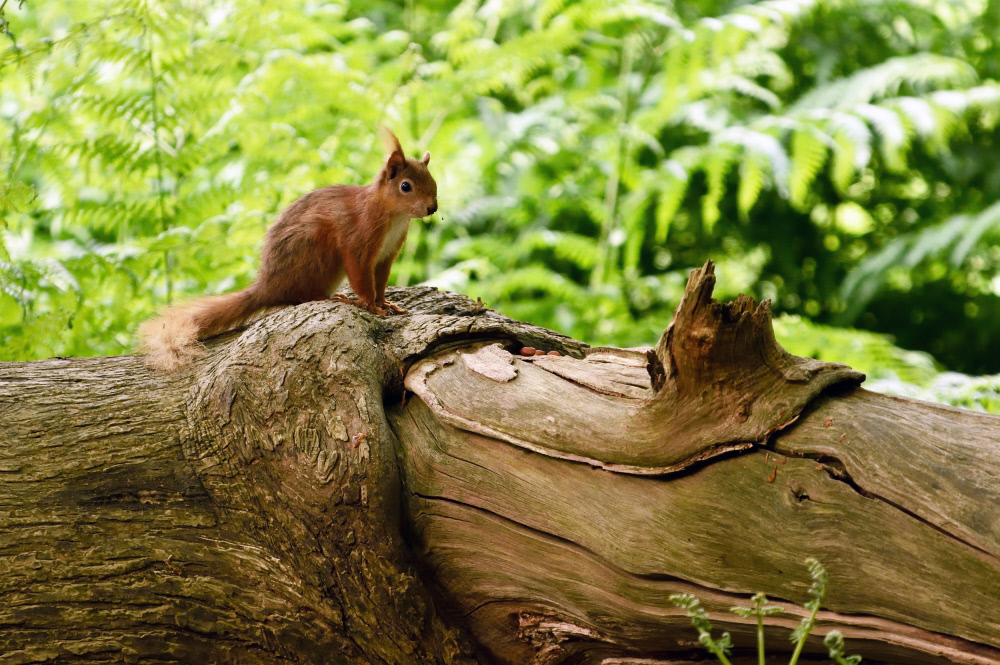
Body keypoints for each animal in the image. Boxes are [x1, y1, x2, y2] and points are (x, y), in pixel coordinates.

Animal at [139, 127, 437, 371]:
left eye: (433, 182)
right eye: (406, 186)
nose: (432, 208)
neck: (394, 215)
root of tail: (269, 286)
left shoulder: (387, 255)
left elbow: (381, 282)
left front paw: (385, 303)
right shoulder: (359, 240)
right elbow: (361, 276)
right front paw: (371, 306)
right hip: (315, 248)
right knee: (301, 296)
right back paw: (333, 299)